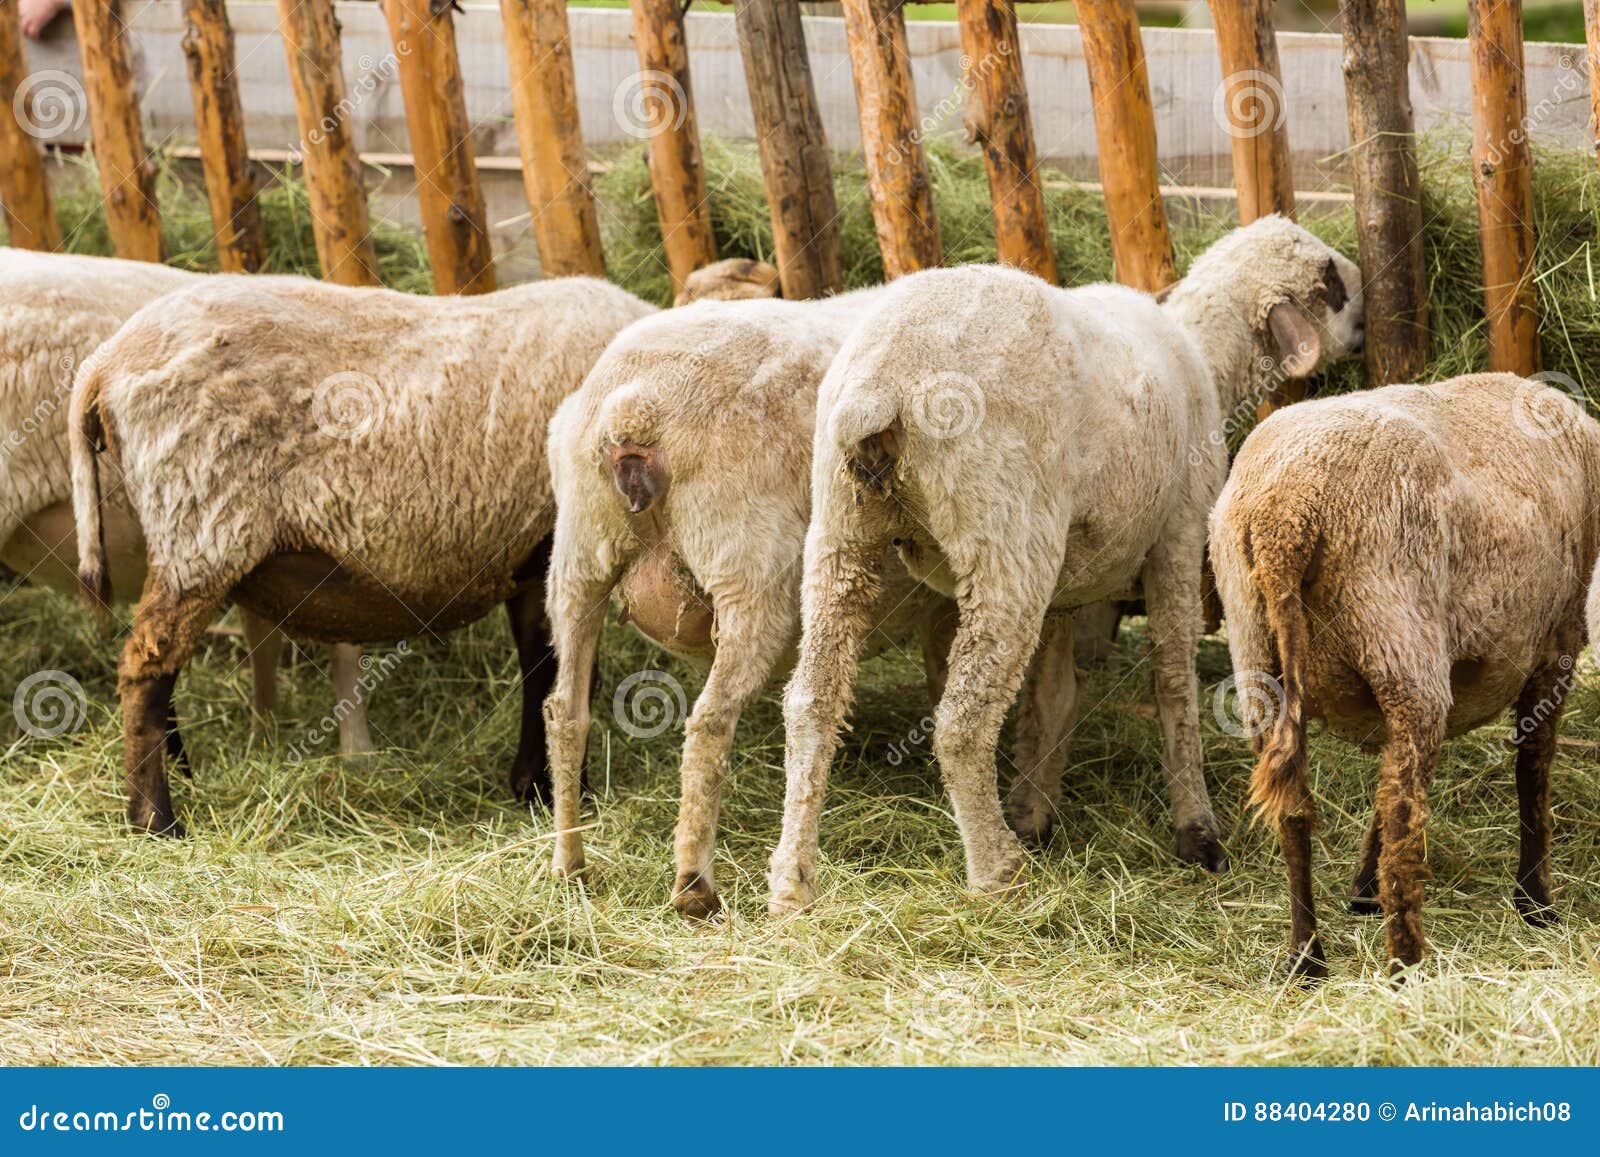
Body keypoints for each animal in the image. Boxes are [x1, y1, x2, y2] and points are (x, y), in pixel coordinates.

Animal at [69, 273, 655, 836]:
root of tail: (104, 363)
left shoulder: (533, 558)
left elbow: (541, 665)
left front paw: (534, 786)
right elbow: (571, 676)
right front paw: (566, 791)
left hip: (183, 532)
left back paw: (178, 777)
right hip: (201, 525)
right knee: (146, 668)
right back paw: (155, 820)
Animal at [543, 287, 981, 916]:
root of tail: (636, 404)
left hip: (578, 563)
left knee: (565, 712)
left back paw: (569, 864)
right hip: (747, 573)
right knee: (708, 721)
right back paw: (694, 886)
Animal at [767, 215, 1364, 913]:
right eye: (1328, 280)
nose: (1364, 319)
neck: (1205, 357)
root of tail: (882, 382)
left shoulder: (1066, 586)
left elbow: (1052, 696)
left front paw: (1034, 813)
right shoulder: (1179, 532)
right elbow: (1173, 683)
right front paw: (1198, 834)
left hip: (841, 536)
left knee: (811, 704)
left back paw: (792, 883)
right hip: (1005, 544)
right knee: (961, 725)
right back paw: (997, 873)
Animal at [1211, 371, 1600, 978]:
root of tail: (1285, 514)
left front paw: (1361, 891)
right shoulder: (1556, 642)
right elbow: (1533, 769)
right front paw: (1535, 902)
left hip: (1256, 652)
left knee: (1296, 811)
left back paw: (1307, 958)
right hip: (1400, 639)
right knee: (1402, 816)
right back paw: (1405, 965)